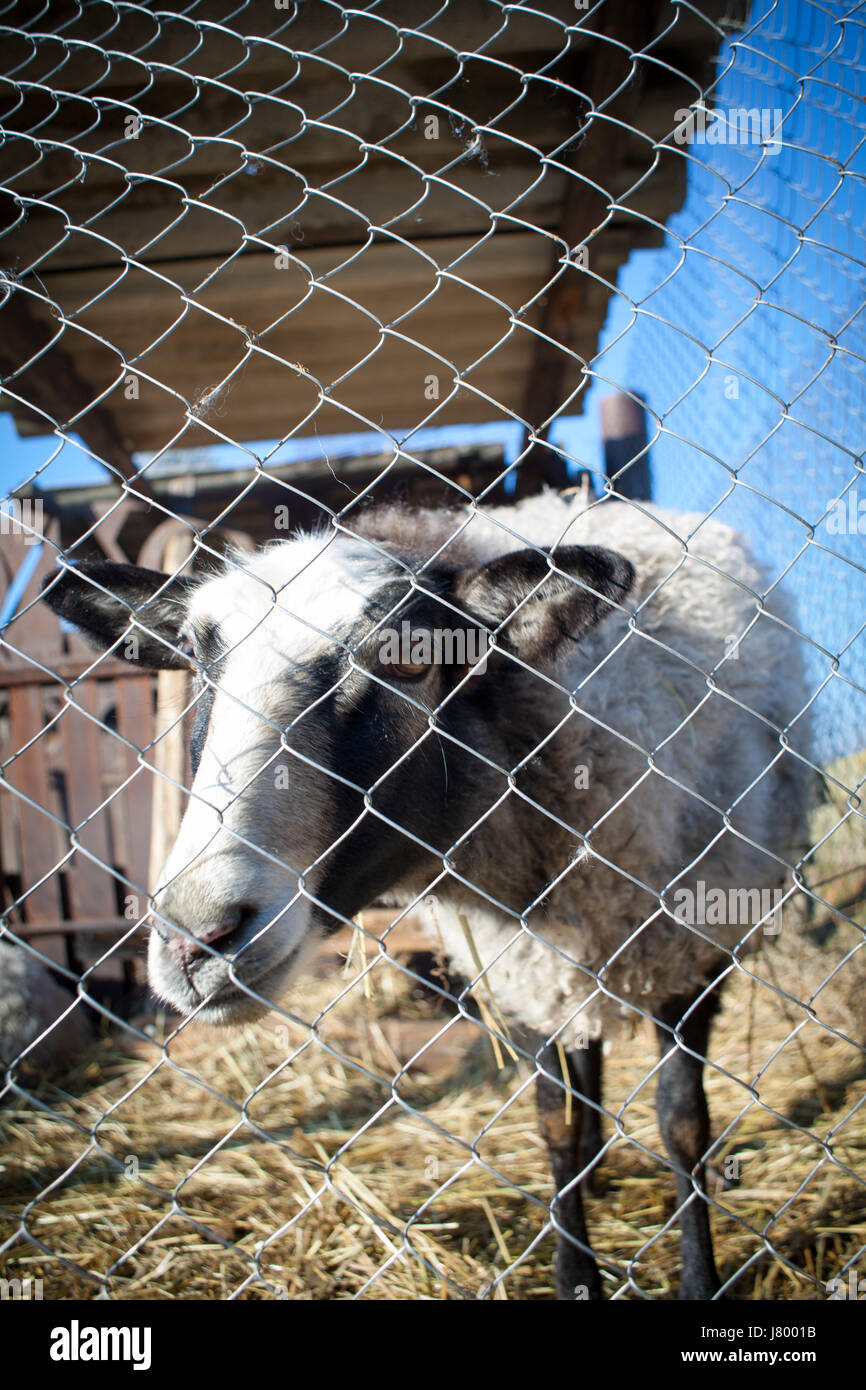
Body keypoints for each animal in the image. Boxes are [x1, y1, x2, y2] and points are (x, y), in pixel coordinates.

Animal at [42, 491, 815, 1299]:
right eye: (196, 661)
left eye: (411, 660)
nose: (195, 940)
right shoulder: (523, 969)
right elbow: (556, 1123)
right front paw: (575, 1270)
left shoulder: (691, 950)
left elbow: (682, 1123)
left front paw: (699, 1276)